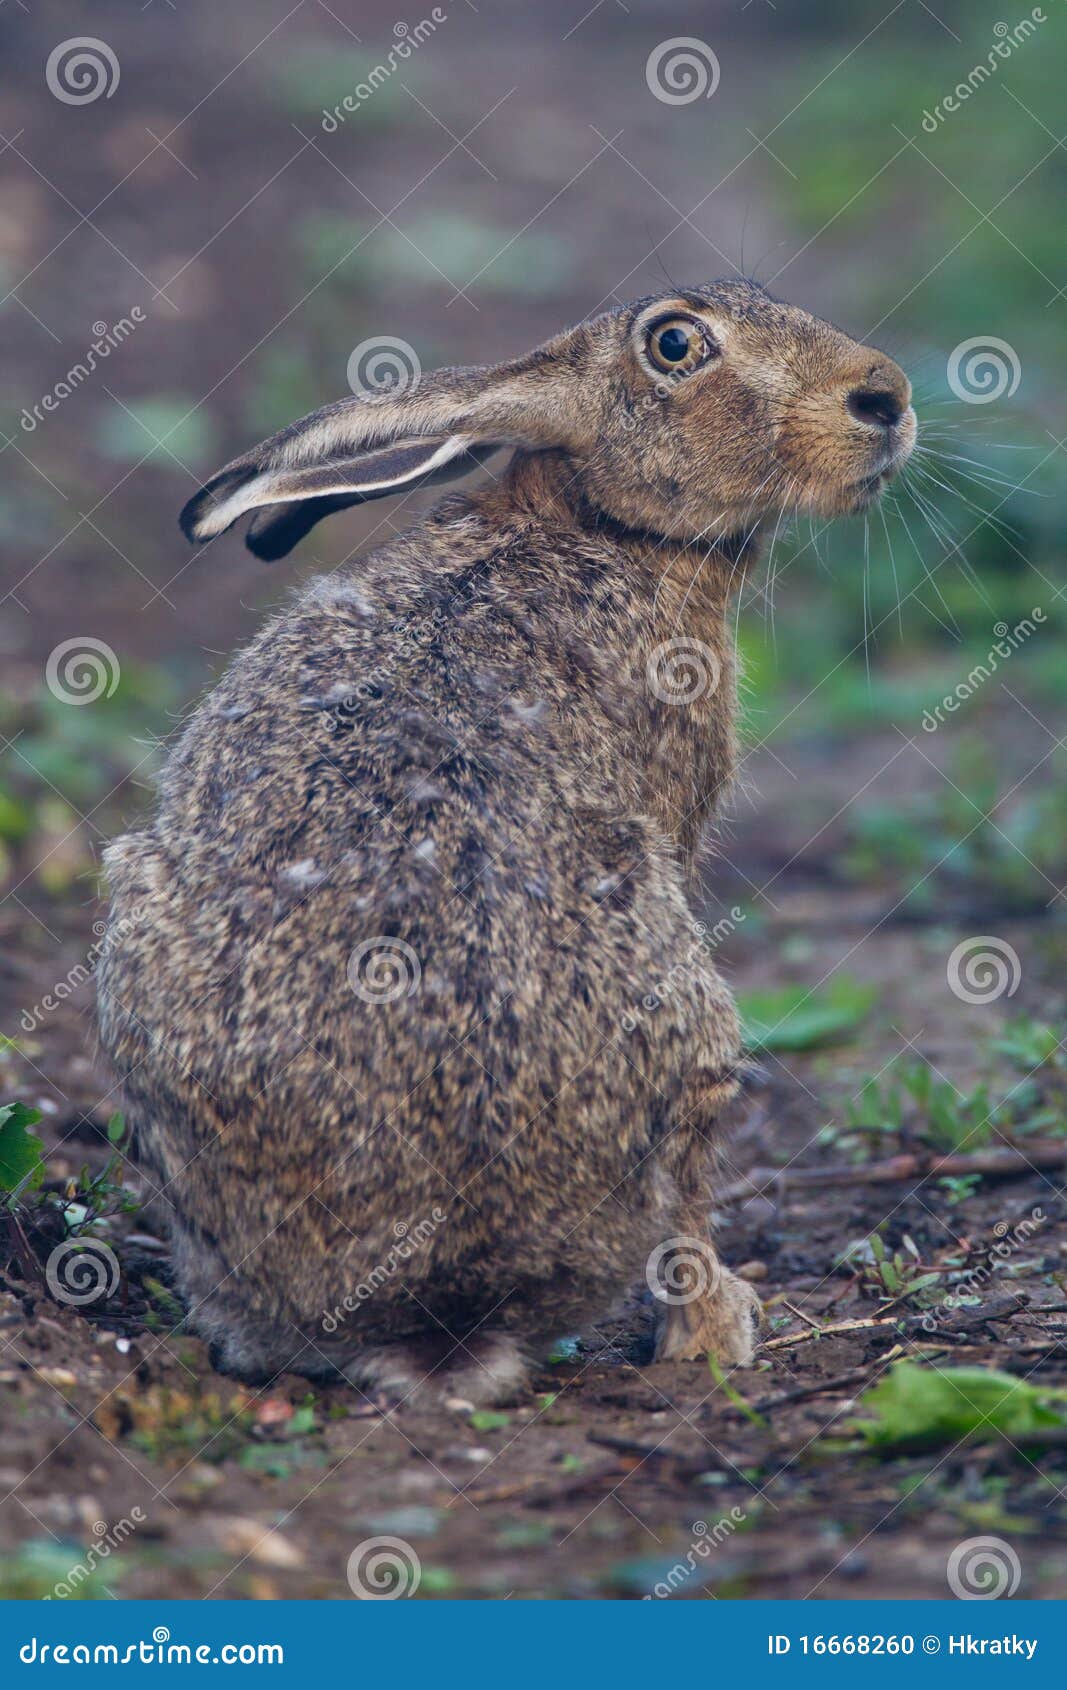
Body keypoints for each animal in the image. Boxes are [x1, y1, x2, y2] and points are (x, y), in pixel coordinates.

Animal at [97, 278, 914, 1407]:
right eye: (675, 345)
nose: (884, 397)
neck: (595, 527)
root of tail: (443, 1314)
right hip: (693, 1023)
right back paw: (718, 1324)